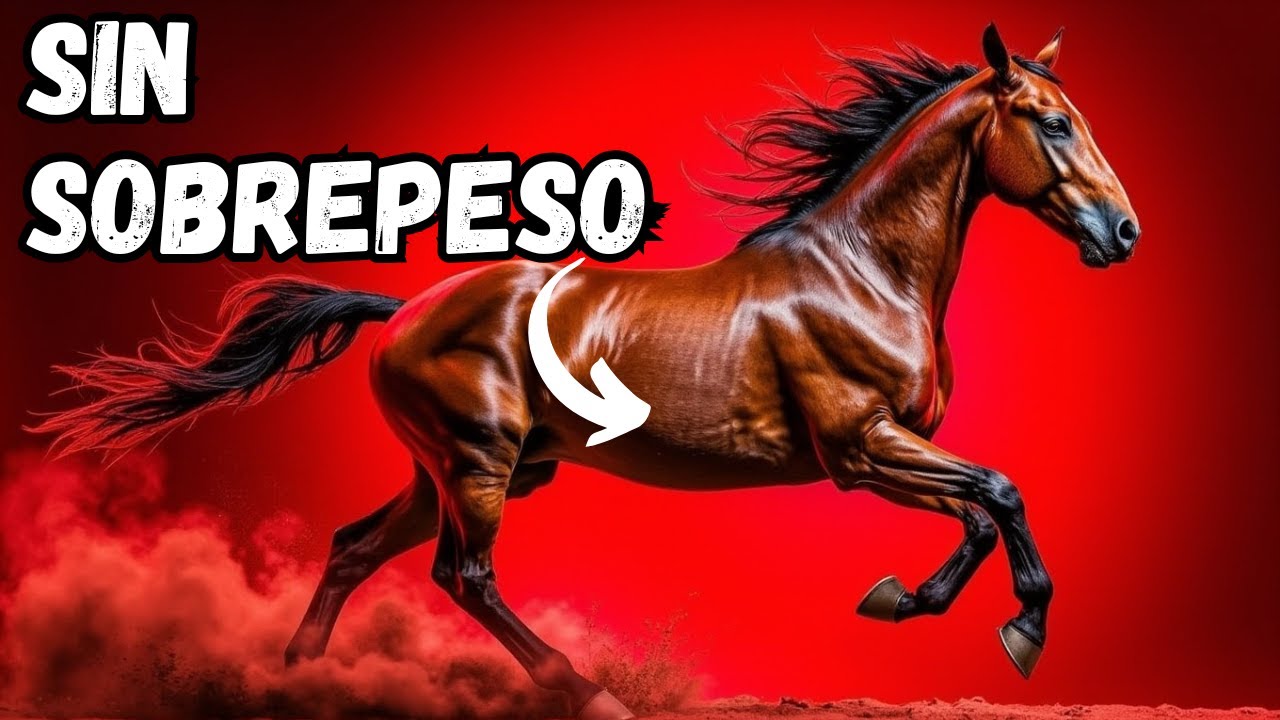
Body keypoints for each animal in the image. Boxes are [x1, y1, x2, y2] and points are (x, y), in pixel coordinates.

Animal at [35, 24, 1138, 720]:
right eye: (1049, 122)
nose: (1122, 232)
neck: (860, 269)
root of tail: (403, 313)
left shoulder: (883, 454)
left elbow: (978, 512)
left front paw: (905, 598)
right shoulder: (859, 448)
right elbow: (999, 492)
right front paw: (1016, 624)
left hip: (463, 470)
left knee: (354, 549)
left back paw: (292, 682)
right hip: (479, 465)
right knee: (464, 575)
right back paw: (587, 690)